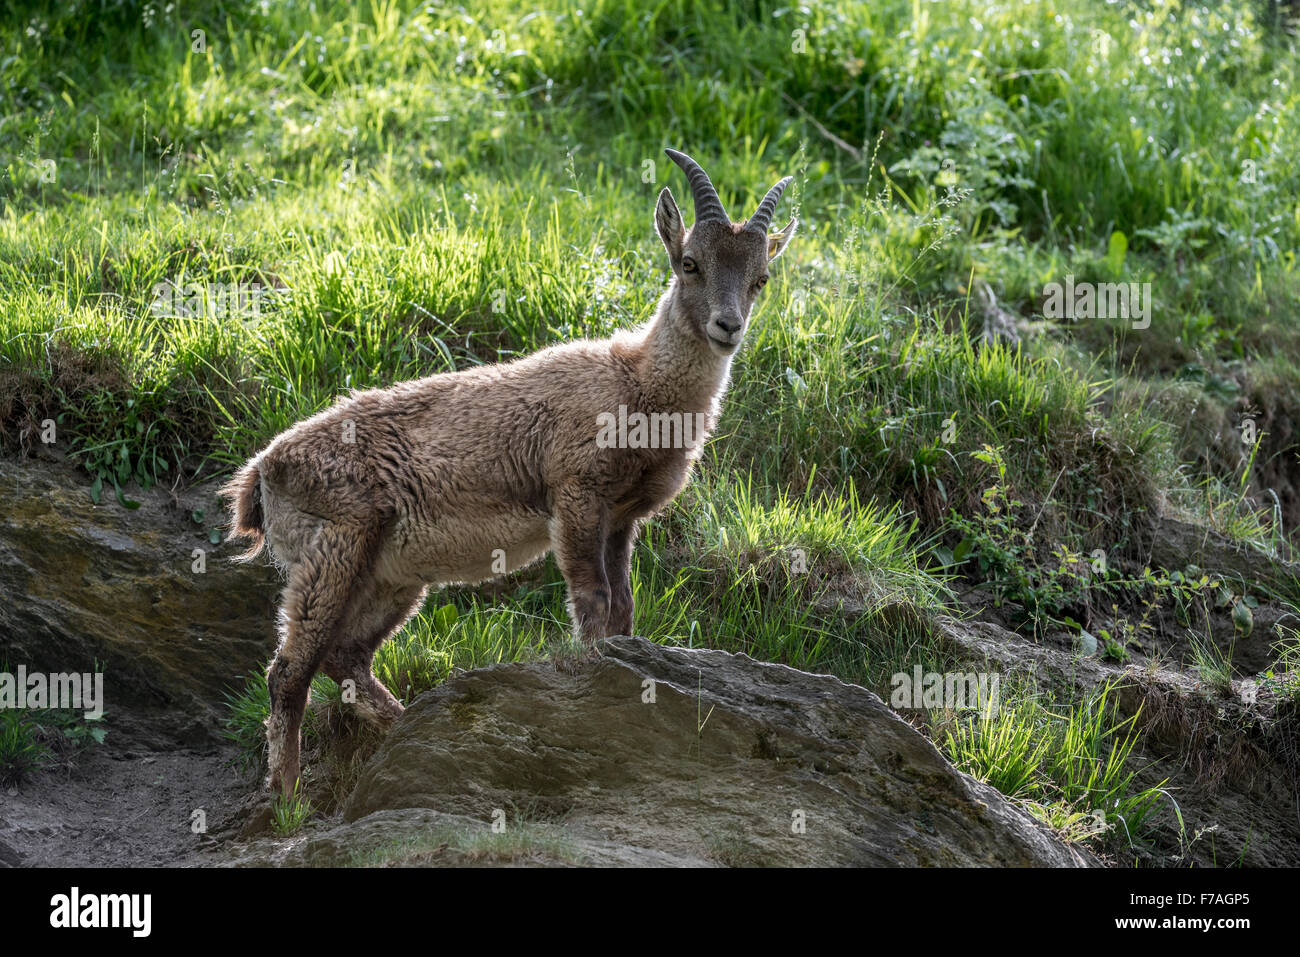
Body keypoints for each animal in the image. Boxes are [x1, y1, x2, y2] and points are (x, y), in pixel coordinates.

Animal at [222, 149, 797, 795]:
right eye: (690, 263)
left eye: (761, 279)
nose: (728, 326)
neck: (640, 386)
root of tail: (261, 474)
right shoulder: (575, 495)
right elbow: (594, 601)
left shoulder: (621, 518)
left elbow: (624, 609)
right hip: (335, 548)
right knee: (289, 670)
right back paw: (287, 795)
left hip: (390, 575)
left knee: (345, 657)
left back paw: (405, 727)